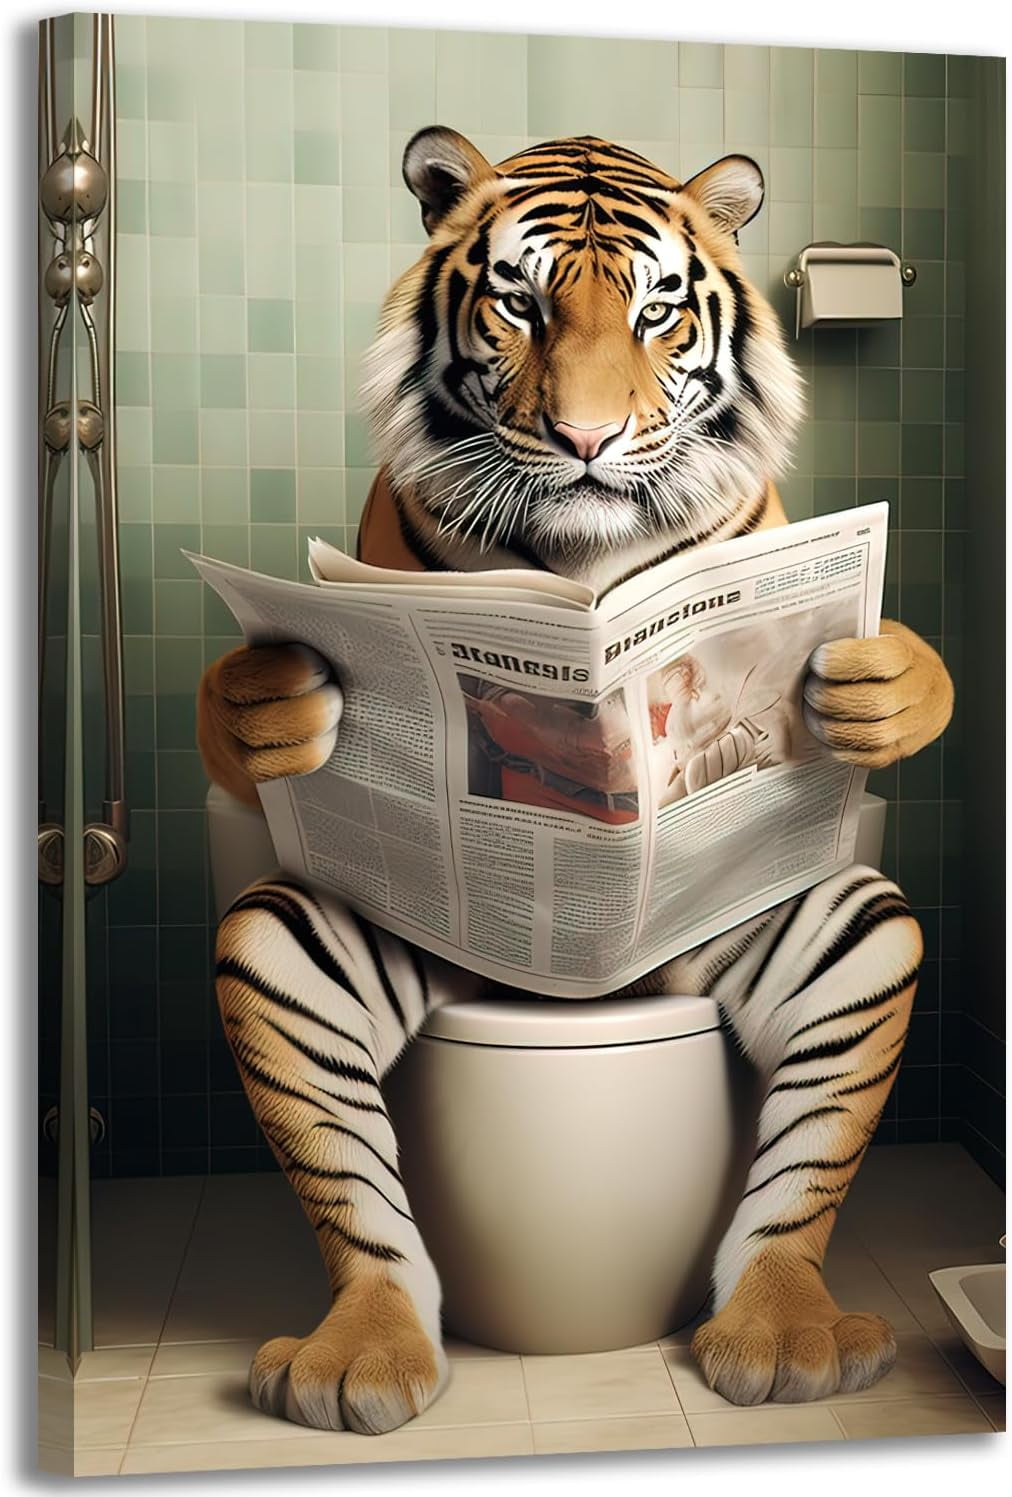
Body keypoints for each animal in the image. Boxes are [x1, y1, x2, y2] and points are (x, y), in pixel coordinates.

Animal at [197, 129, 954, 1435]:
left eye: (656, 312)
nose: (589, 442)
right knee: (352, 1184)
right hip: (296, 957)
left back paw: (785, 1336)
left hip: (832, 939)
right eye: (521, 304)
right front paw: (279, 698)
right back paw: (359, 1358)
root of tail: (588, 993)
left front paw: (875, 691)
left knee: (805, 1160)